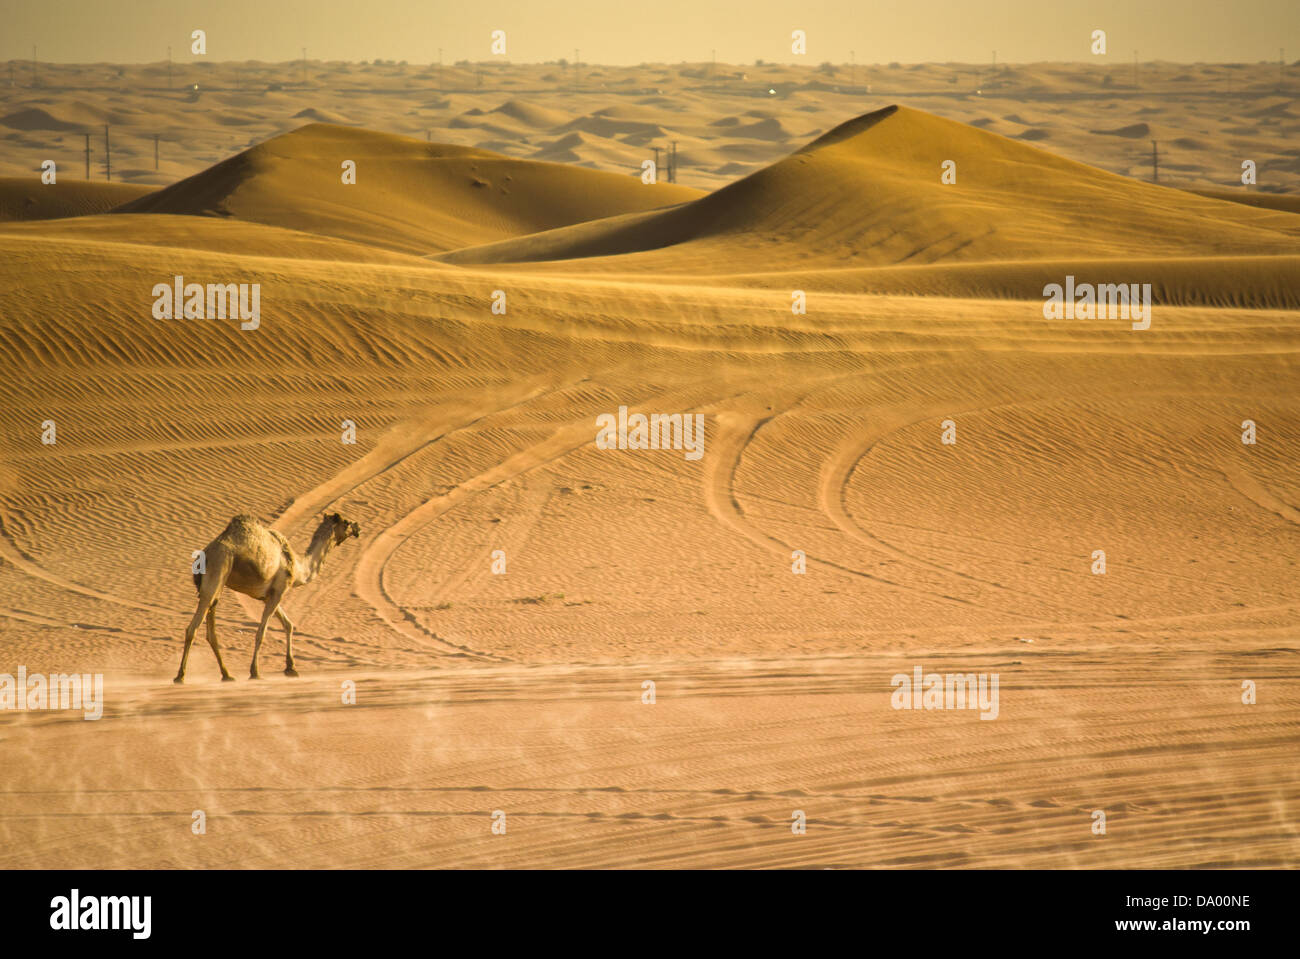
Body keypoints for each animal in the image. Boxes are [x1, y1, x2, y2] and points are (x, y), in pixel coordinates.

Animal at [174, 512, 360, 683]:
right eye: (346, 522)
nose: (357, 527)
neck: (298, 567)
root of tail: (204, 554)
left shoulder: (268, 595)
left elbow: (288, 625)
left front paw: (291, 668)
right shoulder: (280, 590)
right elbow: (261, 632)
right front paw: (255, 672)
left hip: (217, 585)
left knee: (211, 631)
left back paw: (227, 675)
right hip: (217, 571)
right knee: (193, 628)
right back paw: (180, 676)